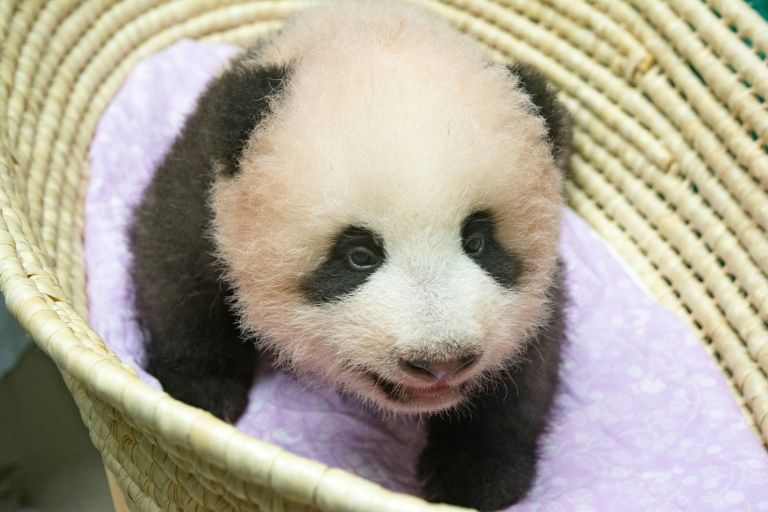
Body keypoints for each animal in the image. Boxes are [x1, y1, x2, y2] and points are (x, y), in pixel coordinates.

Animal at [129, 2, 570, 510]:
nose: (440, 362)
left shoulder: (536, 287)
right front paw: (199, 390)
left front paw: (475, 475)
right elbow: (174, 265)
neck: (362, 27)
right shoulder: (210, 182)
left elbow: (530, 355)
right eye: (359, 255)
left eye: (477, 242)